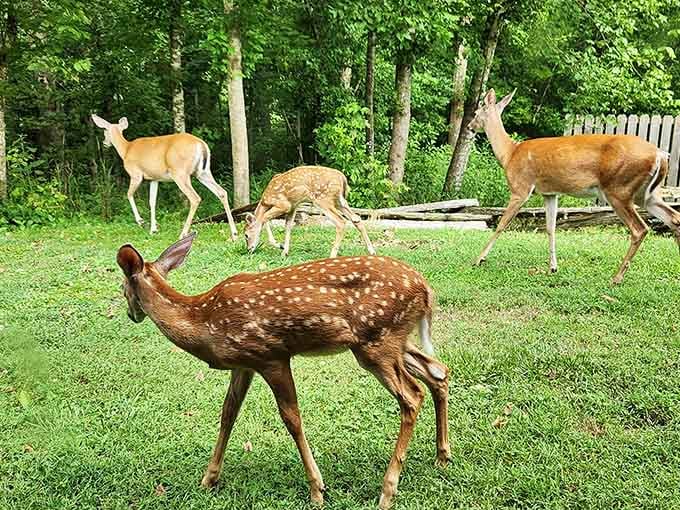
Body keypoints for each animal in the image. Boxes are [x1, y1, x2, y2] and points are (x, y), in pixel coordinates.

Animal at [91, 114, 238, 241]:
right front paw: (153, 229)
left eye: (105, 130)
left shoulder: (136, 174)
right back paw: (234, 233)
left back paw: (182, 234)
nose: (104, 143)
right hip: (203, 172)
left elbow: (128, 194)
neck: (126, 149)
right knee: (222, 192)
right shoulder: (154, 178)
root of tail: (202, 145)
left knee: (195, 198)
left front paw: (141, 221)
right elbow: (152, 201)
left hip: (180, 173)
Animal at [116, 233, 450, 509]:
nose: (132, 315)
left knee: (412, 395)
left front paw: (317, 490)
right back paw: (442, 457)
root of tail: (426, 288)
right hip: (393, 341)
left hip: (376, 342)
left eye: (121, 289)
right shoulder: (243, 363)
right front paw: (209, 479)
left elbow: (292, 418)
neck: (204, 321)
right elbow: (228, 414)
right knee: (438, 371)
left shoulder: (271, 356)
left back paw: (387, 491)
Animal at [244, 165, 376, 257]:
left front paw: (279, 246)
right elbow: (288, 225)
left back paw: (332, 255)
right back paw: (372, 251)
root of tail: (343, 179)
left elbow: (264, 218)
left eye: (246, 235)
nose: (249, 249)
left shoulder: (284, 204)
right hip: (340, 201)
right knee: (356, 219)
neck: (264, 202)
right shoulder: (293, 206)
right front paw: (284, 251)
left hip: (323, 199)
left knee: (341, 221)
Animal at [469, 88, 680, 284]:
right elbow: (551, 228)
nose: (470, 127)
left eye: (476, 112)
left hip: (618, 188)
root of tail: (660, 154)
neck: (510, 154)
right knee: (673, 218)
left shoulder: (520, 188)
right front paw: (553, 267)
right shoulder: (550, 193)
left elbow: (501, 225)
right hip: (646, 194)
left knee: (640, 229)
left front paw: (479, 259)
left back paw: (617, 277)